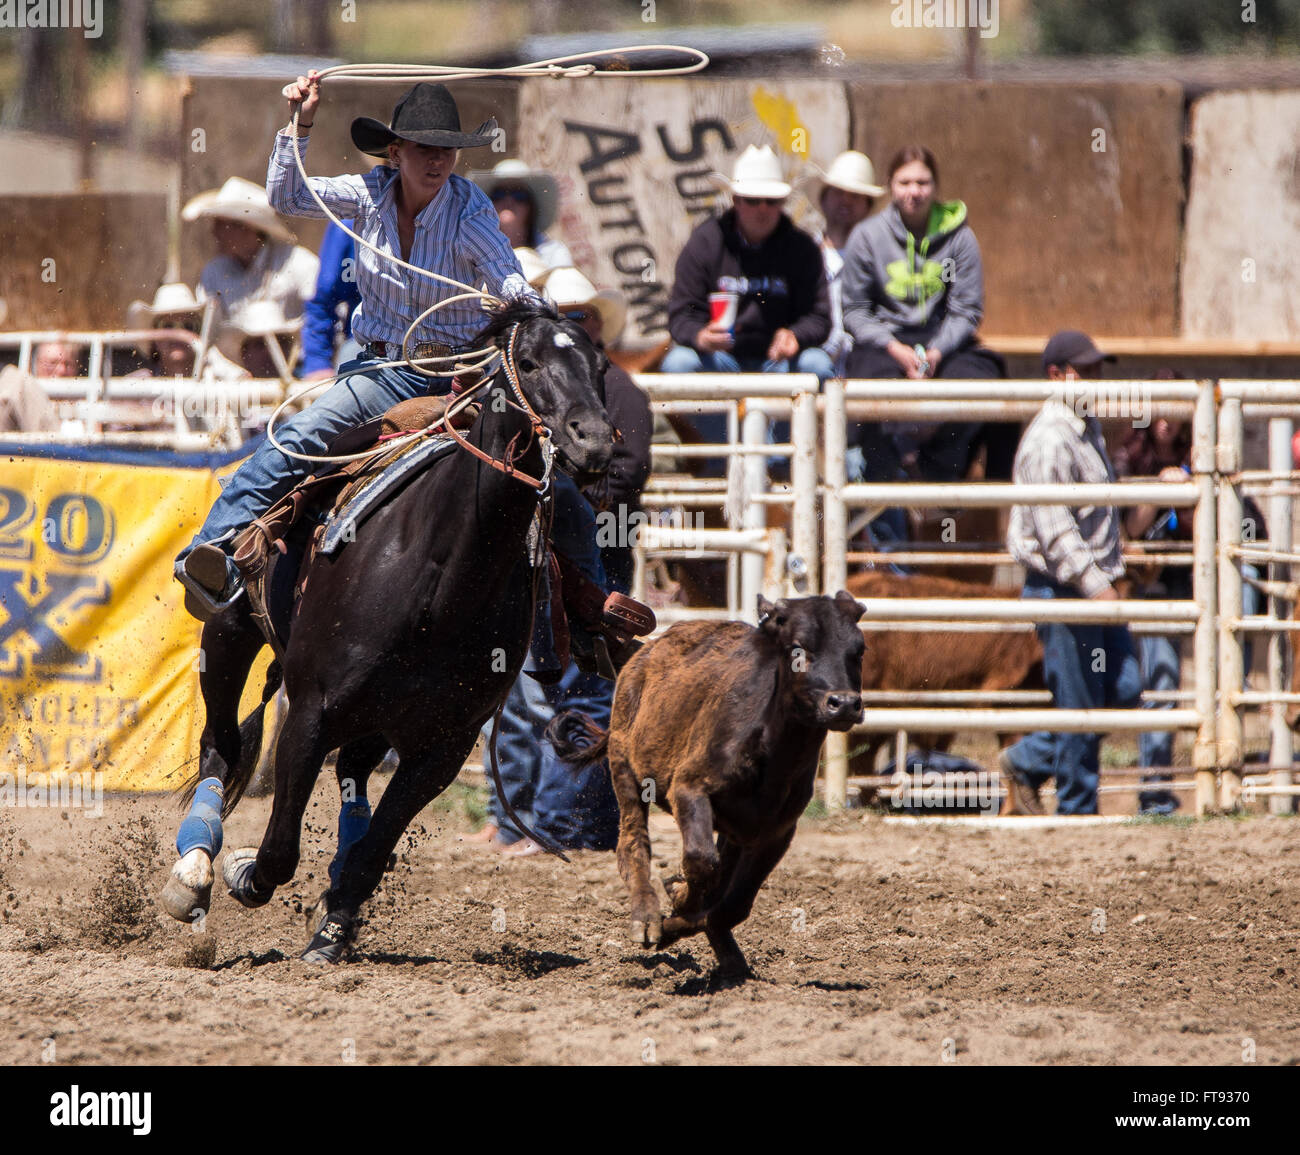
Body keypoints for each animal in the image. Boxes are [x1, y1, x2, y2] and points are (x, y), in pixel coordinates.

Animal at [160, 298, 614, 963]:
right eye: (528, 363)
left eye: (600, 366)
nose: (596, 442)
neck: (443, 577)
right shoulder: (310, 712)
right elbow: (279, 849)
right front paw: (246, 874)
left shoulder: (443, 746)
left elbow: (375, 850)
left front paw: (332, 924)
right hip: (228, 632)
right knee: (222, 744)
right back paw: (192, 872)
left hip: (379, 710)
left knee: (351, 772)